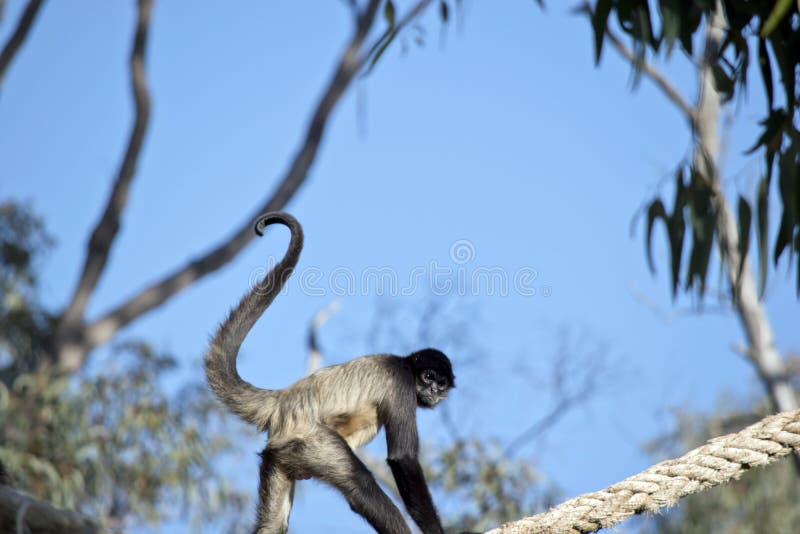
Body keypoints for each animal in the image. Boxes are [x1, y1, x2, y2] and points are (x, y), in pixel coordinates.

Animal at [204, 212, 454, 534]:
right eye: (428, 377)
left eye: (442, 384)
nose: (434, 390)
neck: (406, 366)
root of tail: (282, 400)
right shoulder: (400, 380)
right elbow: (403, 459)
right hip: (308, 440)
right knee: (359, 483)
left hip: (280, 456)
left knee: (273, 524)